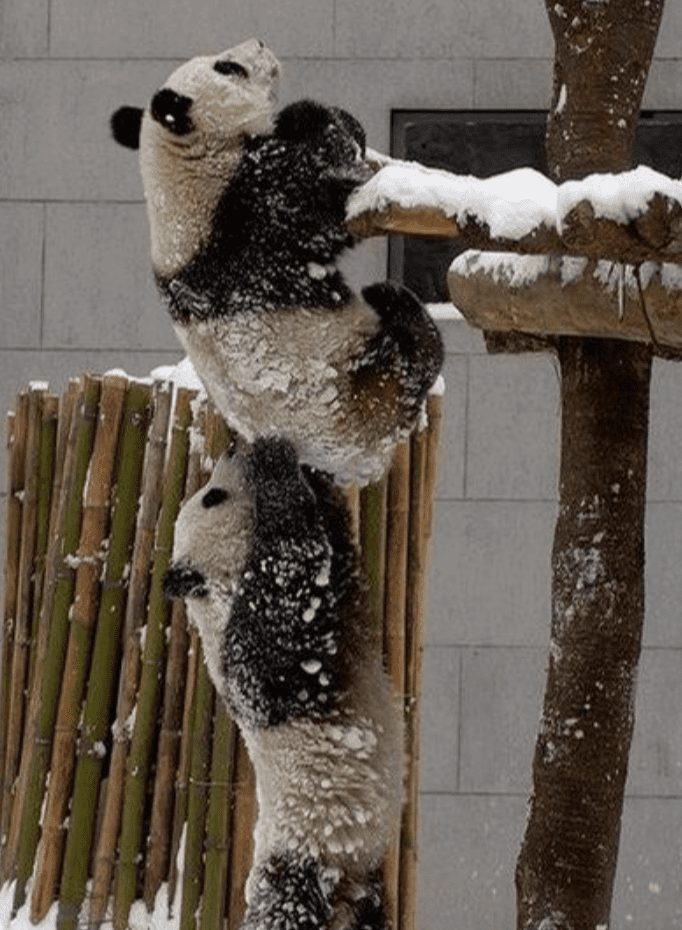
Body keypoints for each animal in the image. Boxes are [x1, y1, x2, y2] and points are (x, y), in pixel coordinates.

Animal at [110, 39, 443, 485]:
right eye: (228, 67)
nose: (260, 43)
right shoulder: (245, 216)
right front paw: (308, 117)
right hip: (365, 382)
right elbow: (315, 198)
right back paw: (395, 302)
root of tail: (361, 464)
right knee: (413, 359)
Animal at [163, 437, 404, 930]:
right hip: (300, 855)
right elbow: (289, 590)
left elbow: (335, 547)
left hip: (362, 874)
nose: (232, 450)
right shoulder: (250, 653)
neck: (214, 589)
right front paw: (275, 461)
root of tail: (342, 894)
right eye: (213, 496)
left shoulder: (337, 588)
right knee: (286, 908)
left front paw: (314, 475)